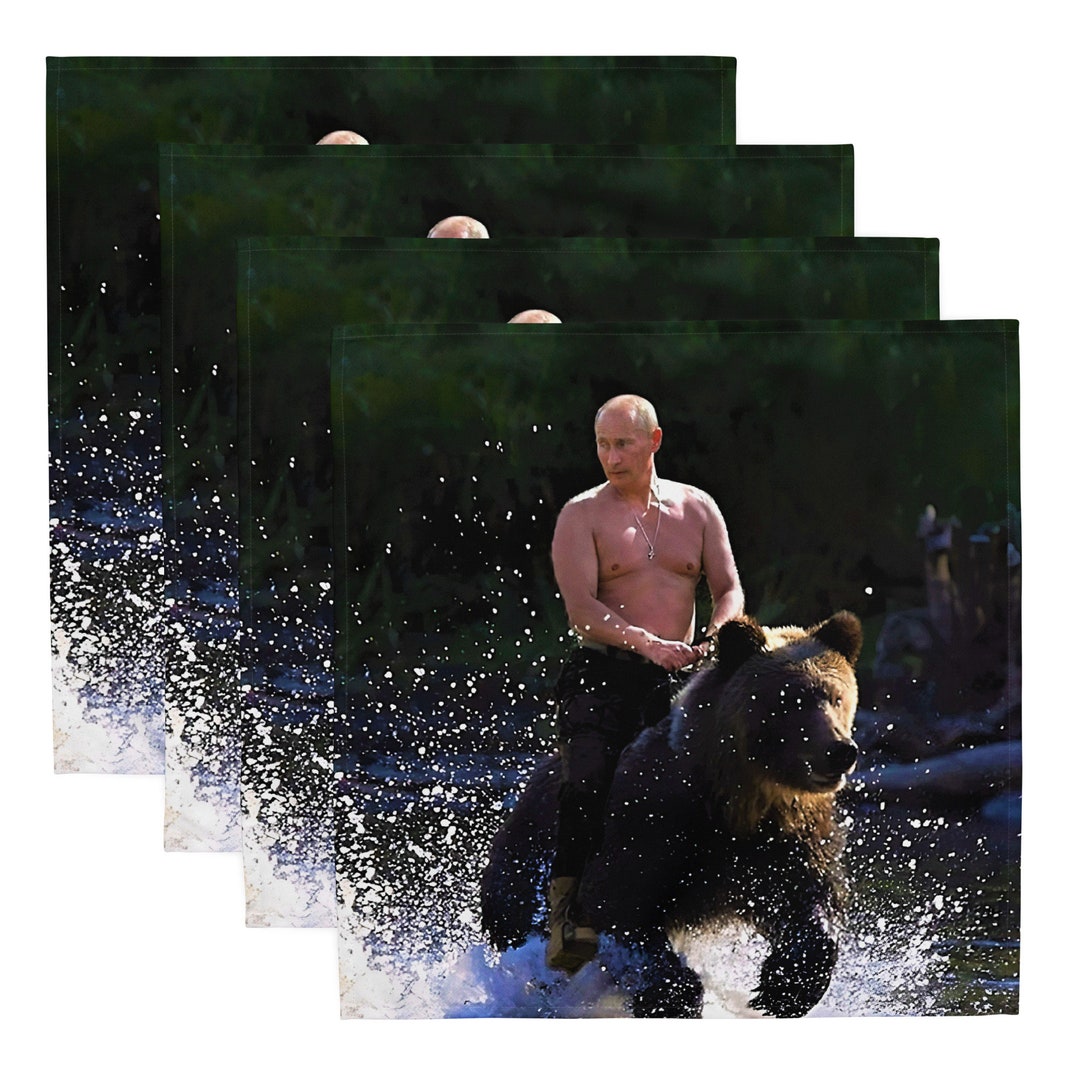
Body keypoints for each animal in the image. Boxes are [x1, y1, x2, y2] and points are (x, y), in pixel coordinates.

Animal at [479, 610, 862, 1018]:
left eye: (837, 697)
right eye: (791, 700)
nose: (840, 750)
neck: (733, 798)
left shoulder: (782, 835)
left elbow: (806, 898)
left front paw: (783, 988)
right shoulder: (652, 820)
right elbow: (619, 902)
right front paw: (673, 995)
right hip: (527, 861)